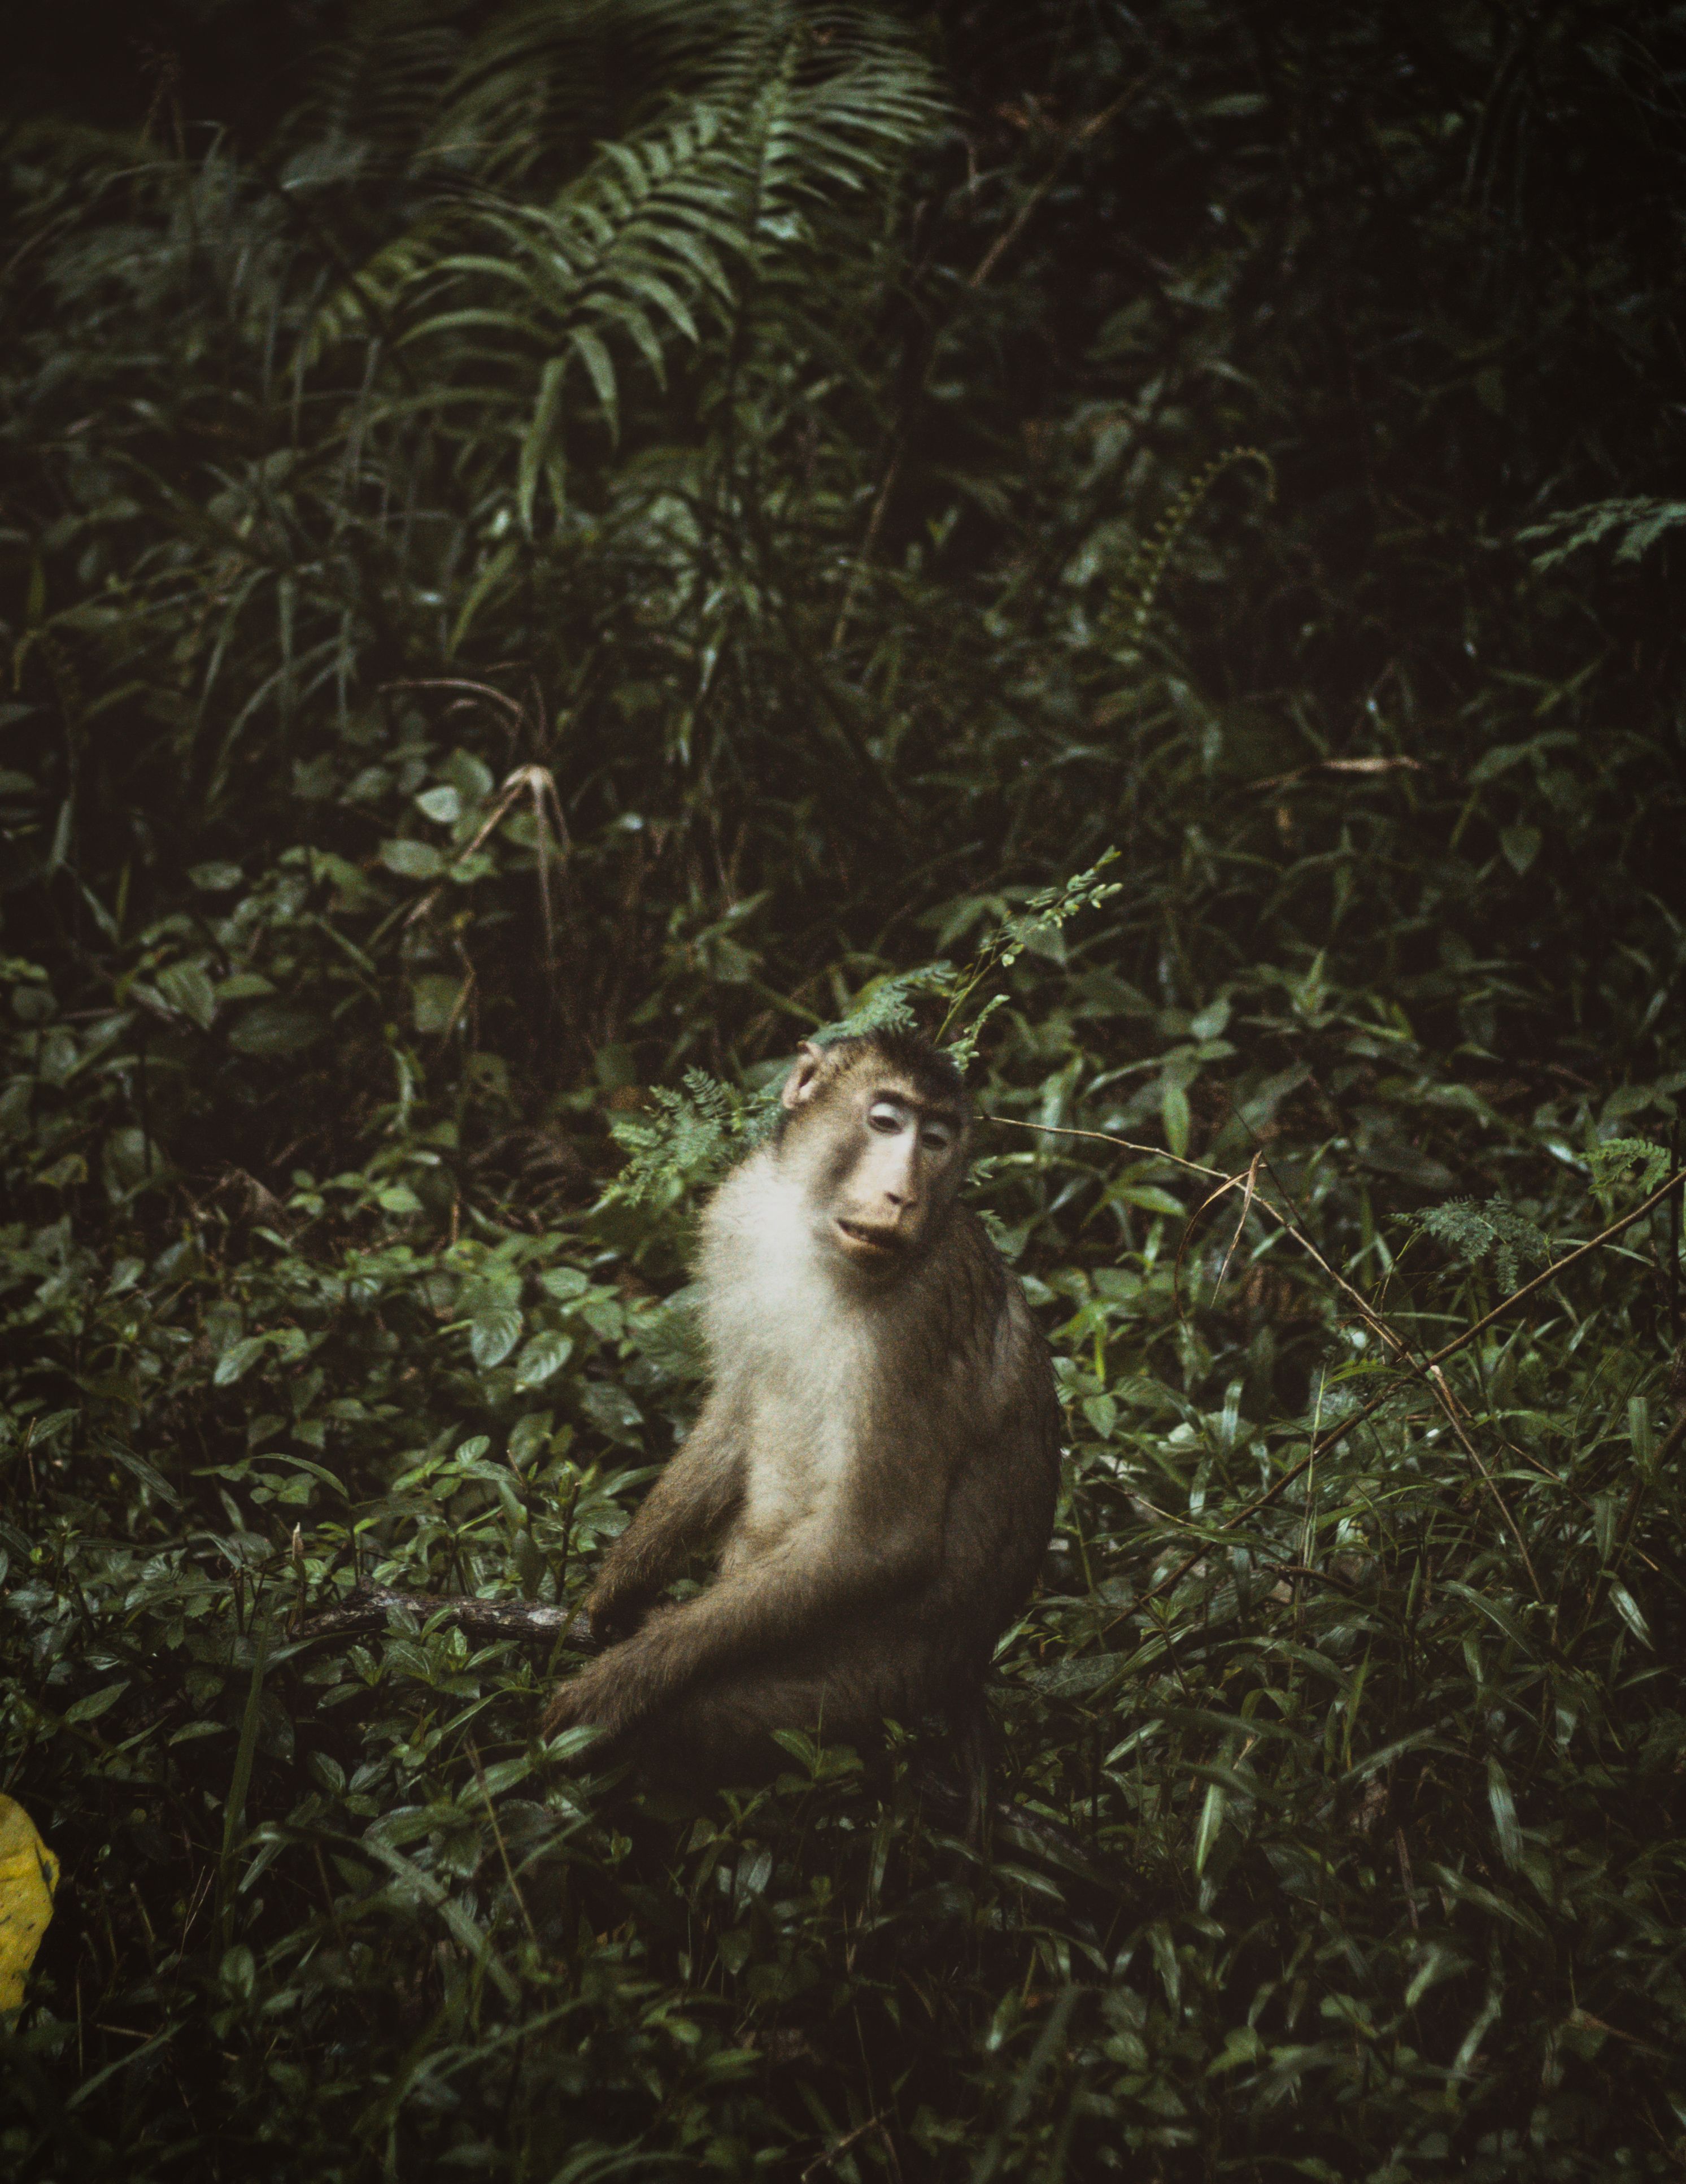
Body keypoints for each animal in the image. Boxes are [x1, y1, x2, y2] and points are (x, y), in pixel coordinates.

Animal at [541, 1029, 1063, 1784]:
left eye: (936, 1141)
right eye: (886, 1122)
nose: (901, 1195)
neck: (816, 1239)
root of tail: (964, 1672)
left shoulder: (919, 1317)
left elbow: (878, 1538)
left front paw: (624, 1677)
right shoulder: (740, 1213)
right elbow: (736, 1409)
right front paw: (618, 1588)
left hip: (858, 1687)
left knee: (696, 1722)